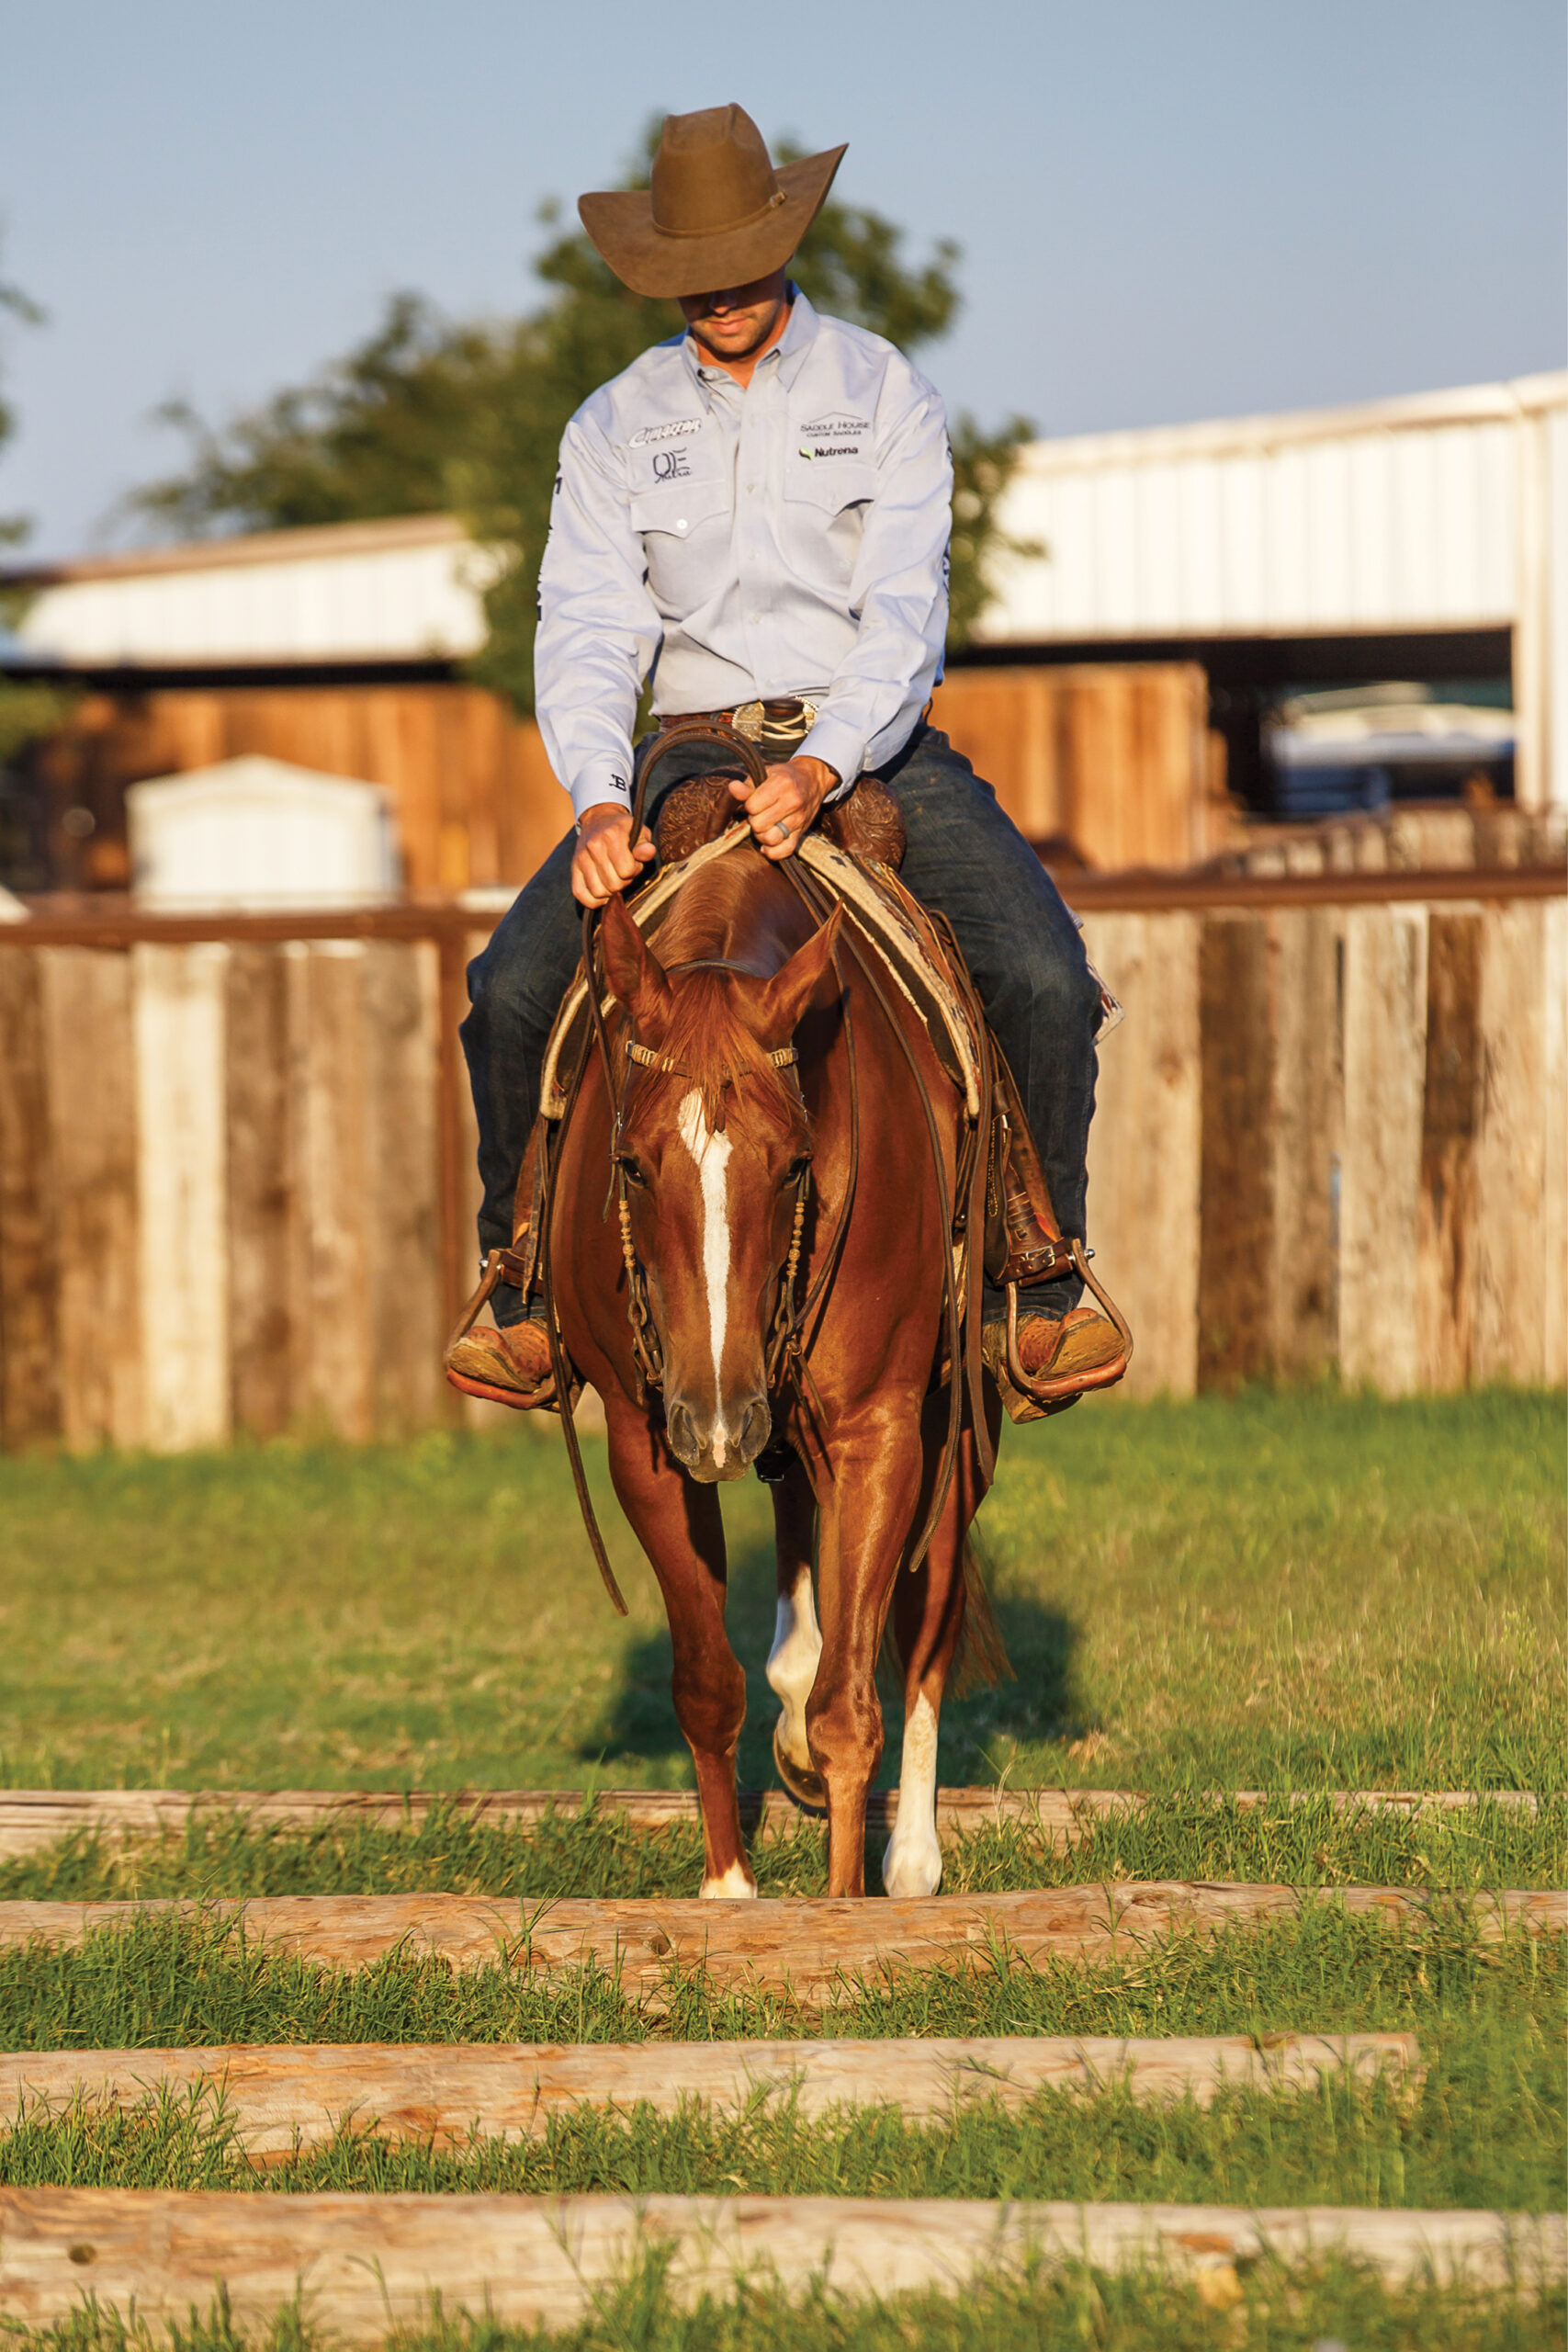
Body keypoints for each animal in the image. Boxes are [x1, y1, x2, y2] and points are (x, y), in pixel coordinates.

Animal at [548, 823, 1006, 1901]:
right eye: (630, 1165)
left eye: (797, 1162)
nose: (719, 1418)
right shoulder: (646, 1436)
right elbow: (708, 1683)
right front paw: (729, 1890)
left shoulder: (879, 1427)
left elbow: (854, 1703)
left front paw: (842, 1907)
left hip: (957, 1425)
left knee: (923, 1616)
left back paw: (912, 1860)